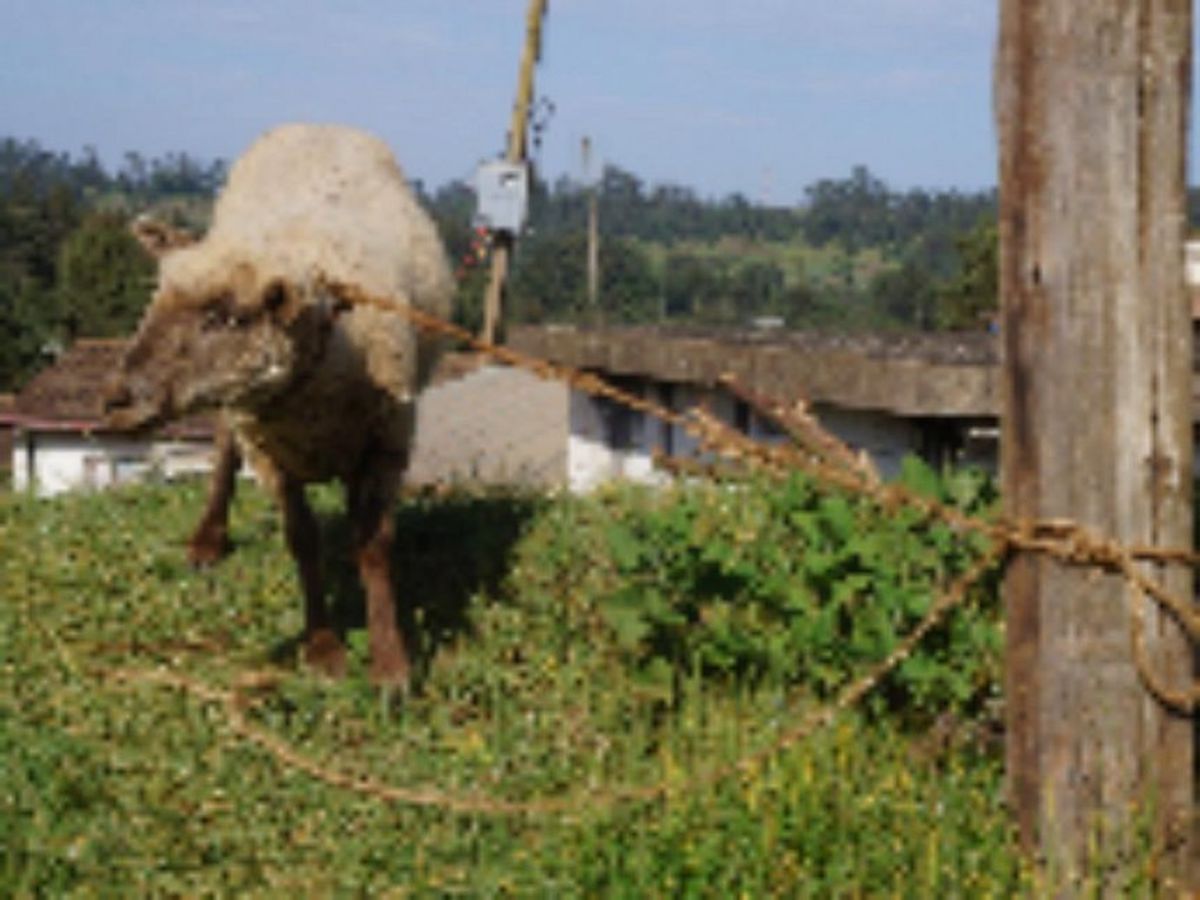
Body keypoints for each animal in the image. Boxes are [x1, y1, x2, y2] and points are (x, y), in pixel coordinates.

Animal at [105, 123, 454, 688]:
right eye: (154, 303)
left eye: (227, 317)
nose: (115, 399)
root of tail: (315, 123)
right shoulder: (269, 454)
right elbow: (302, 540)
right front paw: (323, 649)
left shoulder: (389, 439)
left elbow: (373, 544)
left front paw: (390, 664)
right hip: (240, 420)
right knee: (223, 453)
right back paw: (208, 540)